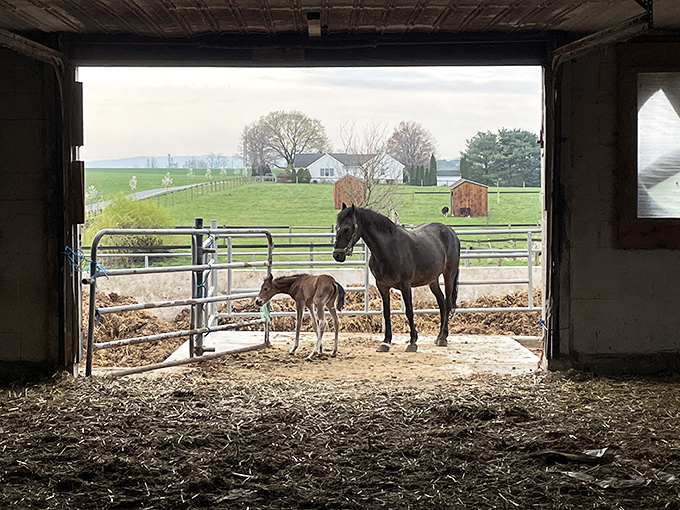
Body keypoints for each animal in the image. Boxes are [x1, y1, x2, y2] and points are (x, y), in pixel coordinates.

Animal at [333, 204, 460, 352]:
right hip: (432, 280)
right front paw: (385, 342)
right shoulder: (382, 286)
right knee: (441, 302)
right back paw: (440, 336)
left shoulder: (405, 286)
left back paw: (443, 338)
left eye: (347, 229)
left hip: (449, 275)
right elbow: (386, 313)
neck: (389, 248)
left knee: (447, 303)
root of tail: (450, 231)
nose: (337, 255)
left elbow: (409, 311)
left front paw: (412, 342)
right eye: (337, 228)